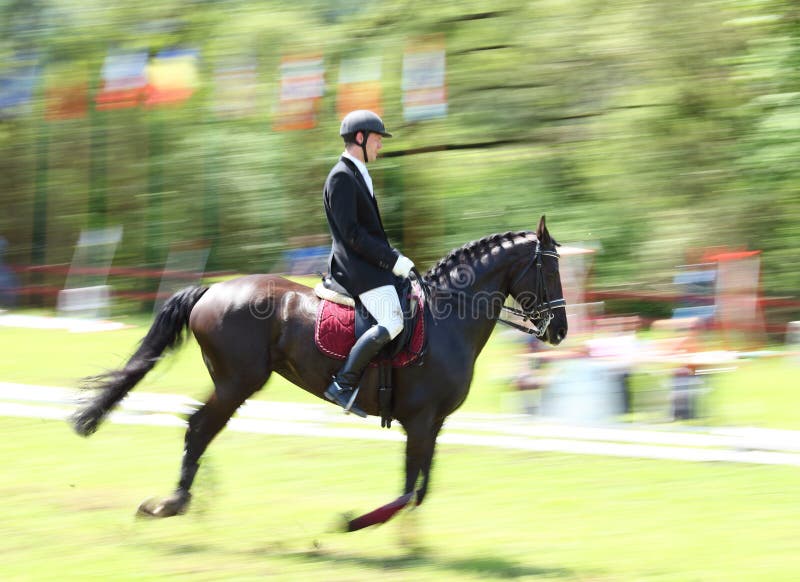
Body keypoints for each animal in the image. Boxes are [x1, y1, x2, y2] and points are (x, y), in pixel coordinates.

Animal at [72, 215, 567, 531]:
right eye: (548, 268)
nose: (560, 330)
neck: (450, 317)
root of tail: (212, 289)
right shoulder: (421, 420)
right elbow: (408, 491)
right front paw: (353, 524)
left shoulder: (433, 423)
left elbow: (419, 490)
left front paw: (409, 544)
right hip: (237, 383)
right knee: (198, 428)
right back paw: (173, 504)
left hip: (233, 383)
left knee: (199, 428)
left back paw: (184, 501)